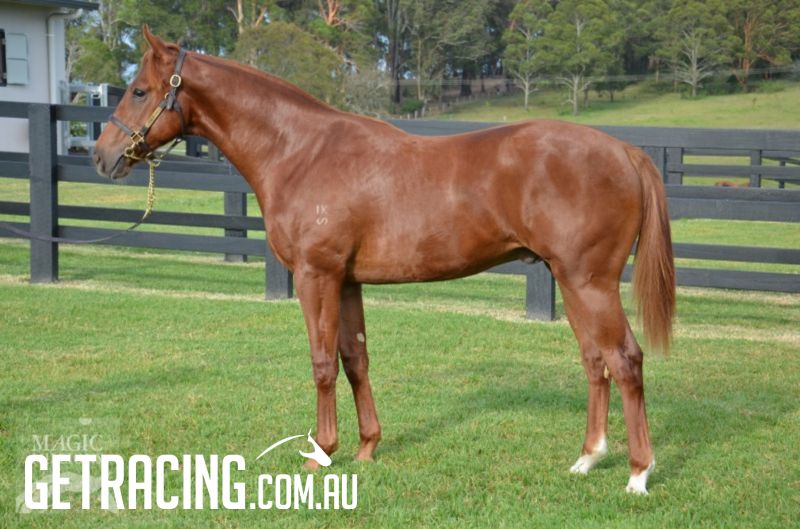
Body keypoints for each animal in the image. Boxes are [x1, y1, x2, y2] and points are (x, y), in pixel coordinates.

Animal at [94, 27, 675, 495]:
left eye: (139, 90)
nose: (101, 156)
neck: (300, 152)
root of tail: (625, 151)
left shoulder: (316, 276)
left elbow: (323, 363)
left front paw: (321, 454)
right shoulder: (347, 281)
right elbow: (356, 359)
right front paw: (367, 447)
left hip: (589, 281)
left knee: (625, 360)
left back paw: (638, 474)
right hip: (571, 280)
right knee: (594, 361)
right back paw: (587, 459)